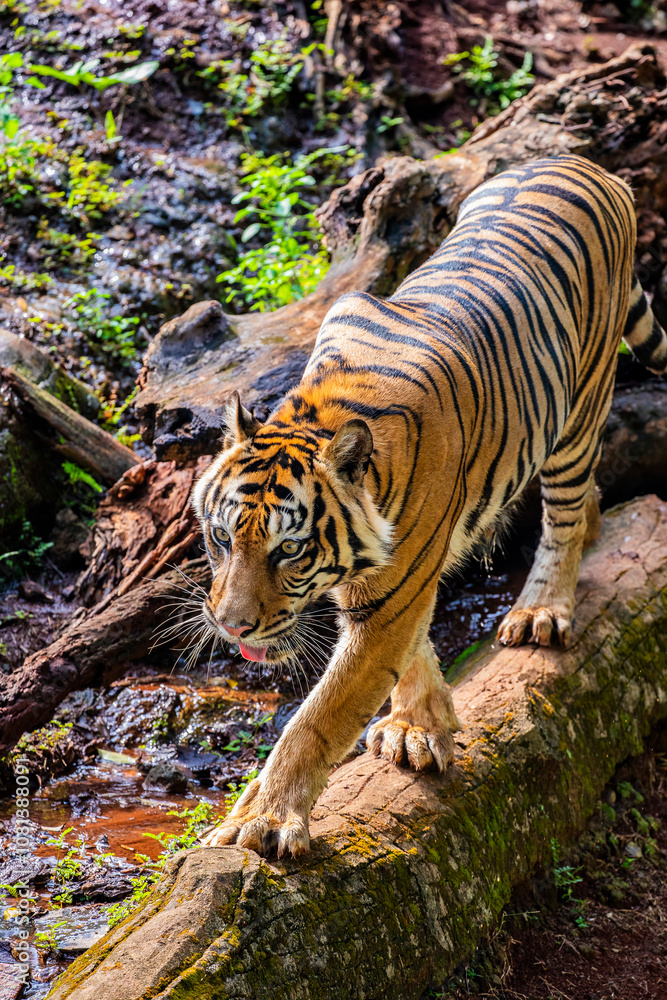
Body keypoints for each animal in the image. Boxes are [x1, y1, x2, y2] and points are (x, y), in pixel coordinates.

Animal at [192, 155, 667, 858]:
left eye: (291, 550)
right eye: (222, 538)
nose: (232, 627)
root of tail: (581, 162)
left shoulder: (391, 593)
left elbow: (319, 717)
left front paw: (264, 820)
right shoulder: (398, 583)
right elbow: (416, 645)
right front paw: (421, 726)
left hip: (580, 409)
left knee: (564, 512)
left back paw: (541, 611)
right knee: (586, 505)